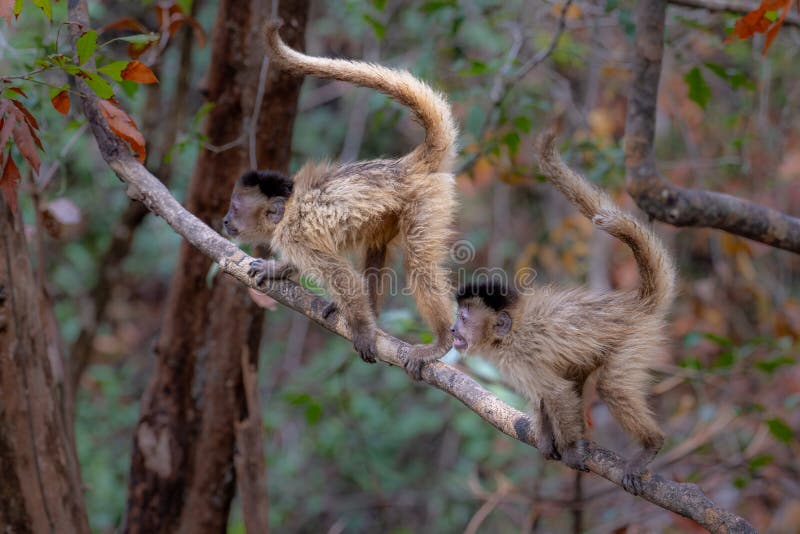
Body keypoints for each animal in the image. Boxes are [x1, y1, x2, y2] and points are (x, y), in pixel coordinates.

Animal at [223, 22, 457, 378]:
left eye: (235, 209)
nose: (224, 220)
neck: (289, 209)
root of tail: (404, 165)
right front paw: (278, 270)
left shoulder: (295, 235)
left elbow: (342, 277)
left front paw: (362, 331)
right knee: (377, 246)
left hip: (425, 202)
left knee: (419, 266)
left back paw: (441, 340)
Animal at [450, 133, 676, 495]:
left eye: (465, 317)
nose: (452, 329)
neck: (509, 333)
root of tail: (634, 304)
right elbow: (546, 395)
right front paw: (545, 439)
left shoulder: (520, 356)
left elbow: (556, 393)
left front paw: (570, 449)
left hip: (637, 338)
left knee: (611, 385)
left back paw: (650, 444)